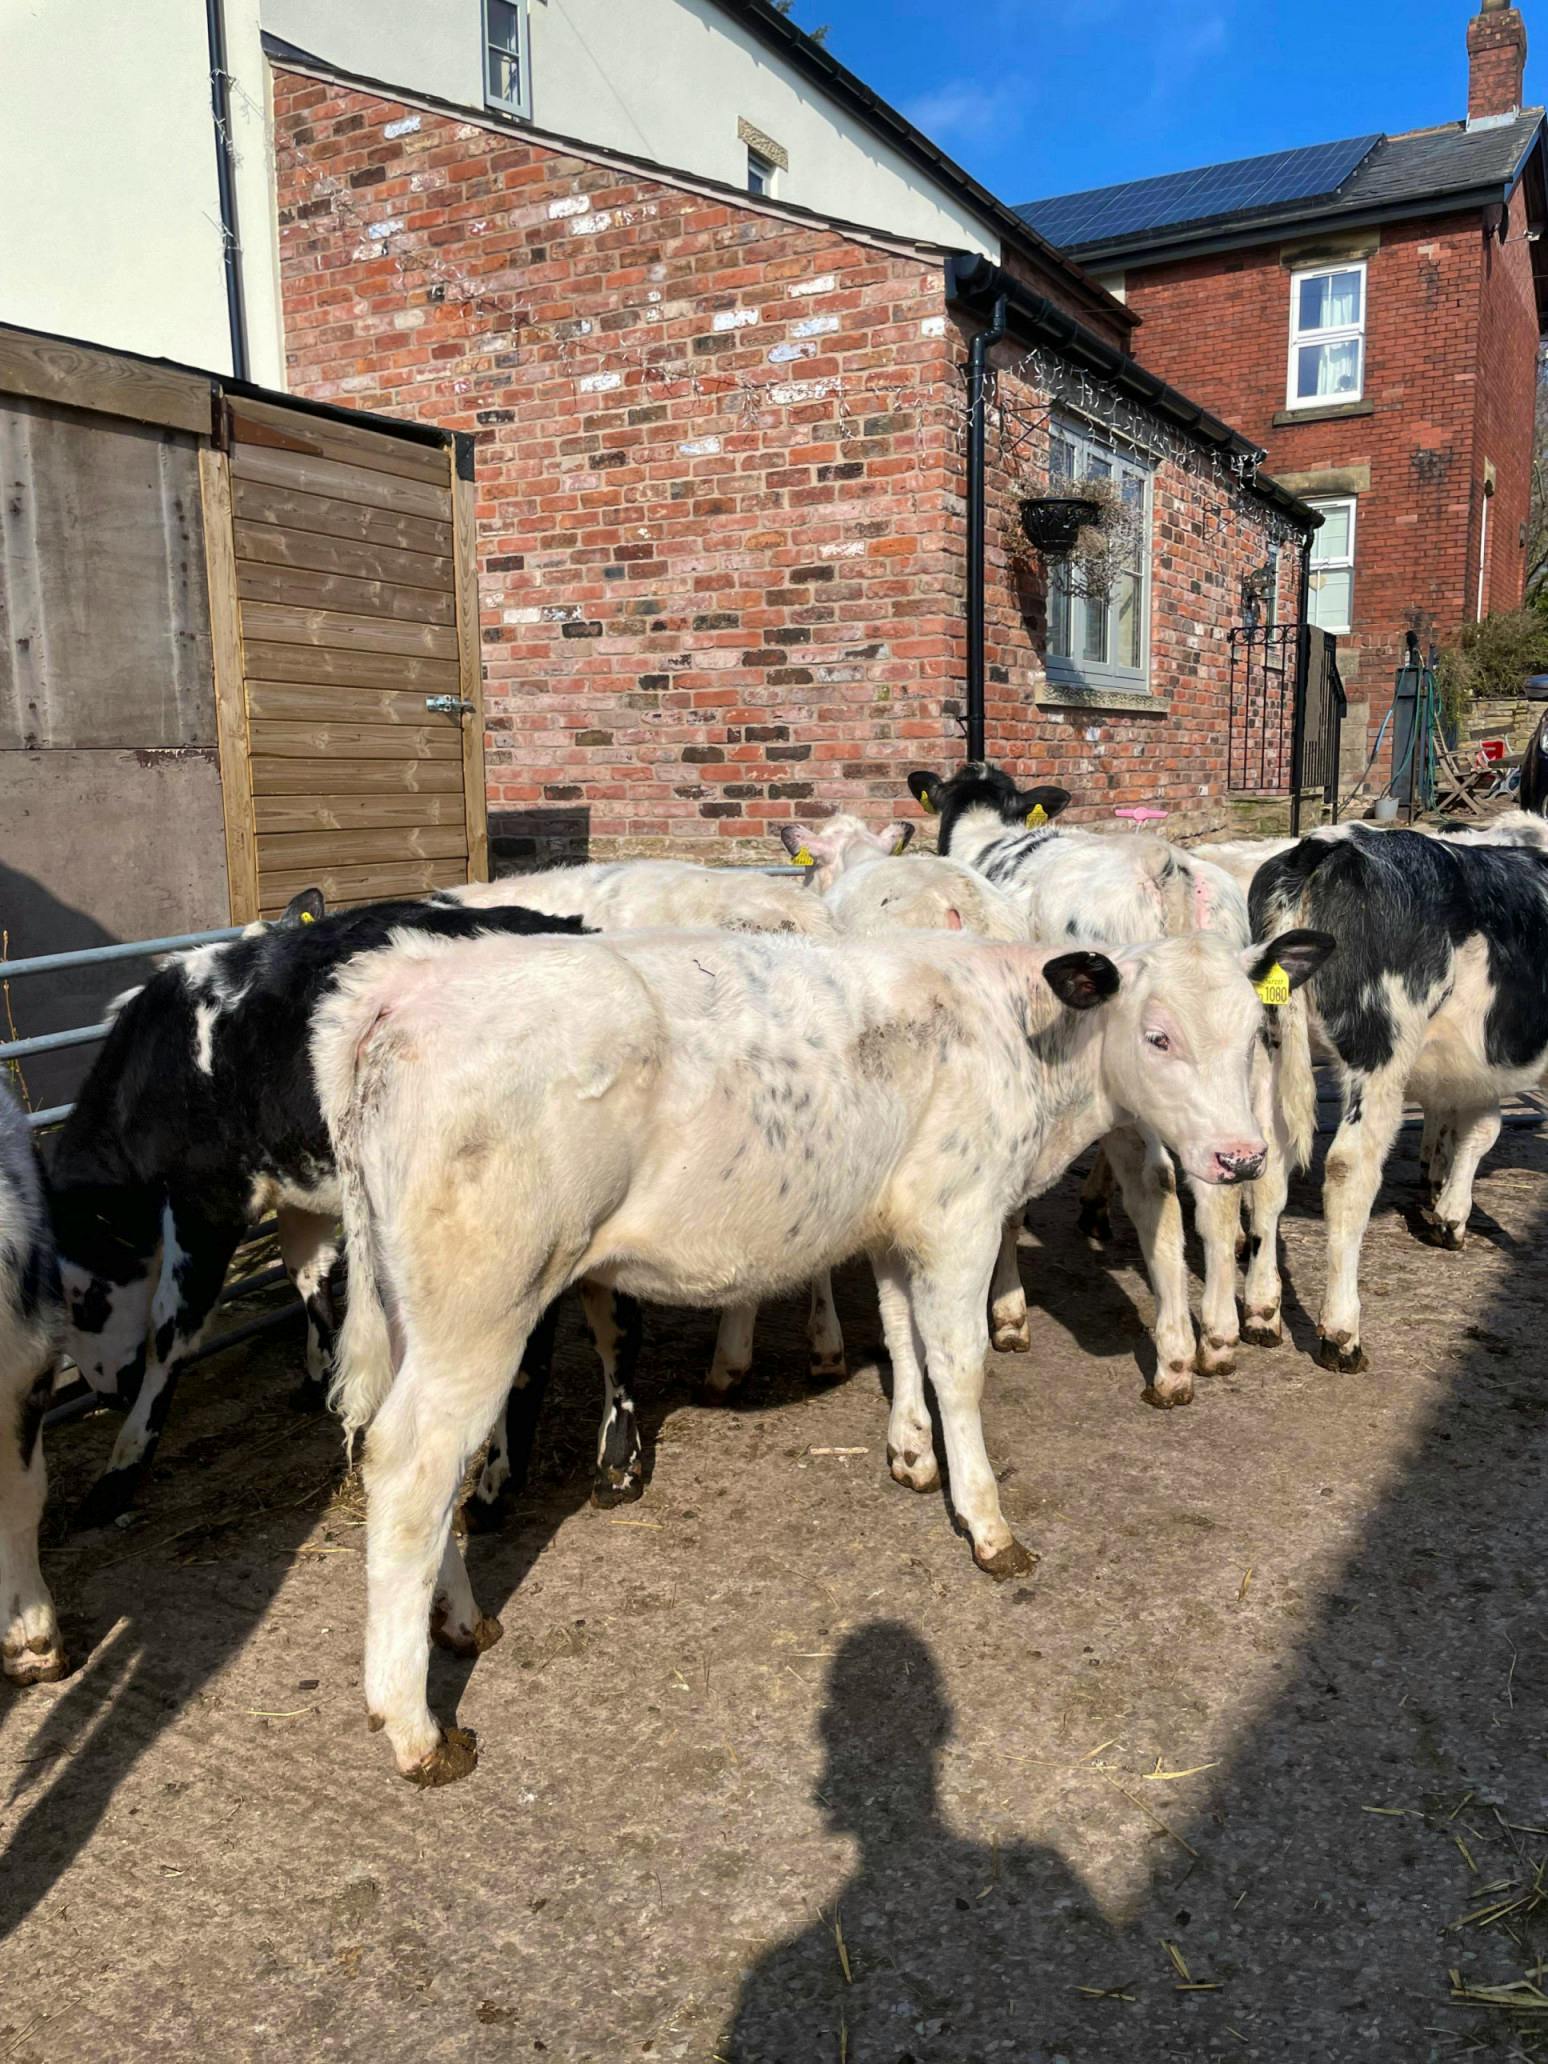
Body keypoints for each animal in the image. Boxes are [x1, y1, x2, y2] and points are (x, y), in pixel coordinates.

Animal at [312, 918, 1330, 1782]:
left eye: (1256, 1036)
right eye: (1157, 1036)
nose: (1241, 1157)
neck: (1018, 1031)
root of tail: (405, 979)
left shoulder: (895, 1223)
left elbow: (902, 1336)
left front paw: (912, 1454)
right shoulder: (958, 1218)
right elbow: (959, 1364)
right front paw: (987, 1524)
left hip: (412, 1310)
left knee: (427, 1464)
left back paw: (460, 1622)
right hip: (483, 1307)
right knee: (412, 1465)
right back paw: (415, 1728)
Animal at [907, 763, 1270, 1401]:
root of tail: (1166, 867)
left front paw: (1008, 1312)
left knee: (1159, 1179)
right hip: (1224, 1071)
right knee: (1219, 1187)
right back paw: (1221, 1335)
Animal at [1251, 824, 1548, 1369]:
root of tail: (1325, 846)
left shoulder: (1478, 1067)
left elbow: (1477, 1129)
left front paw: (1446, 1209)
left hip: (1273, 1049)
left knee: (1266, 1163)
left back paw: (1261, 1313)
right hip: (1380, 1050)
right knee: (1349, 1171)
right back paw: (1341, 1332)